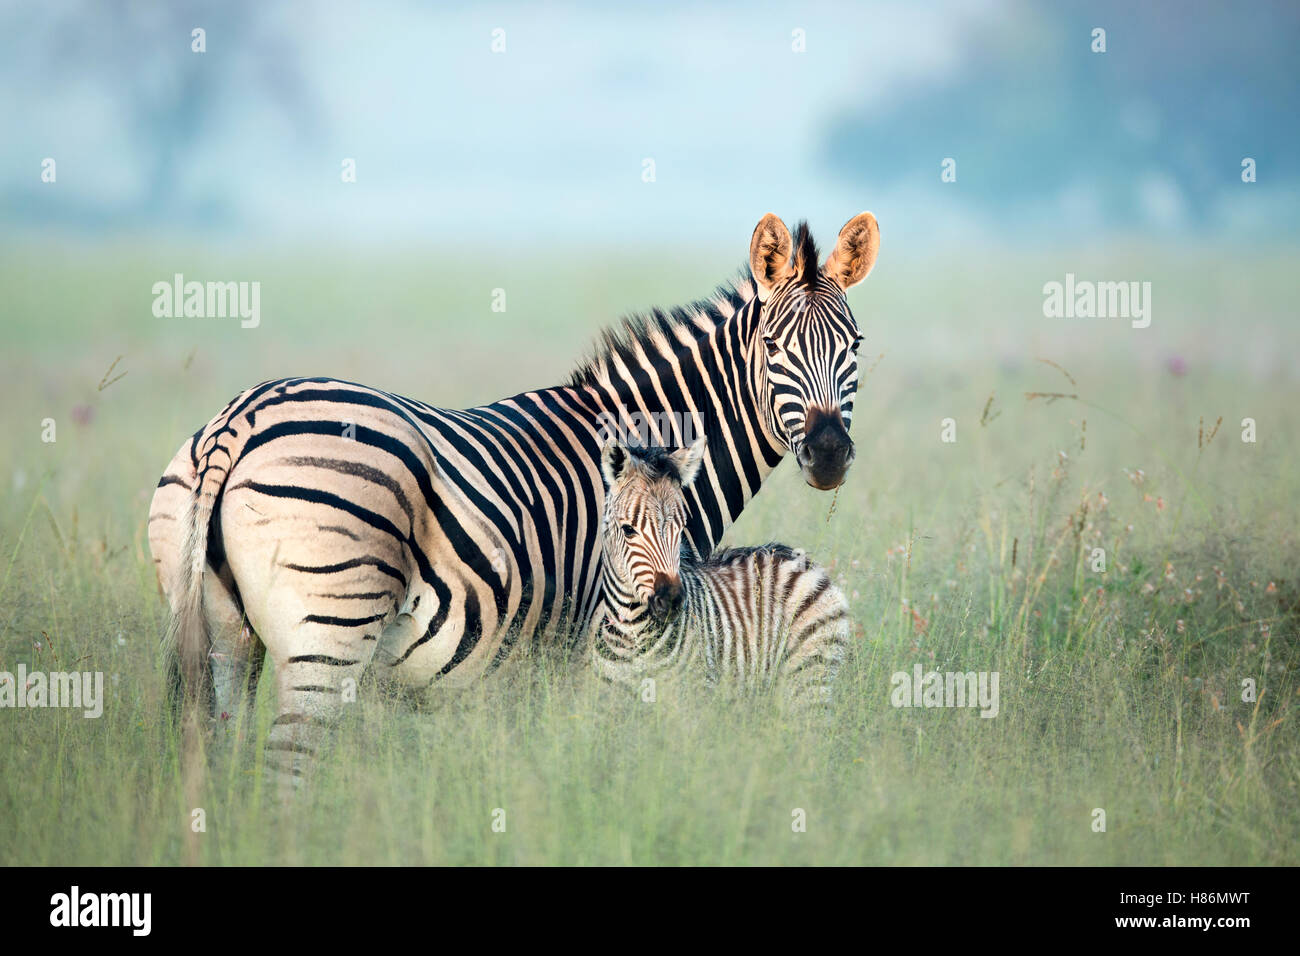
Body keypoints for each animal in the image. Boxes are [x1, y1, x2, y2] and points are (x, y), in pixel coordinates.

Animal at [591, 440, 850, 709]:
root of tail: (799, 558)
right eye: (628, 530)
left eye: (681, 528)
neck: (631, 630)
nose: (672, 601)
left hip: (810, 677)